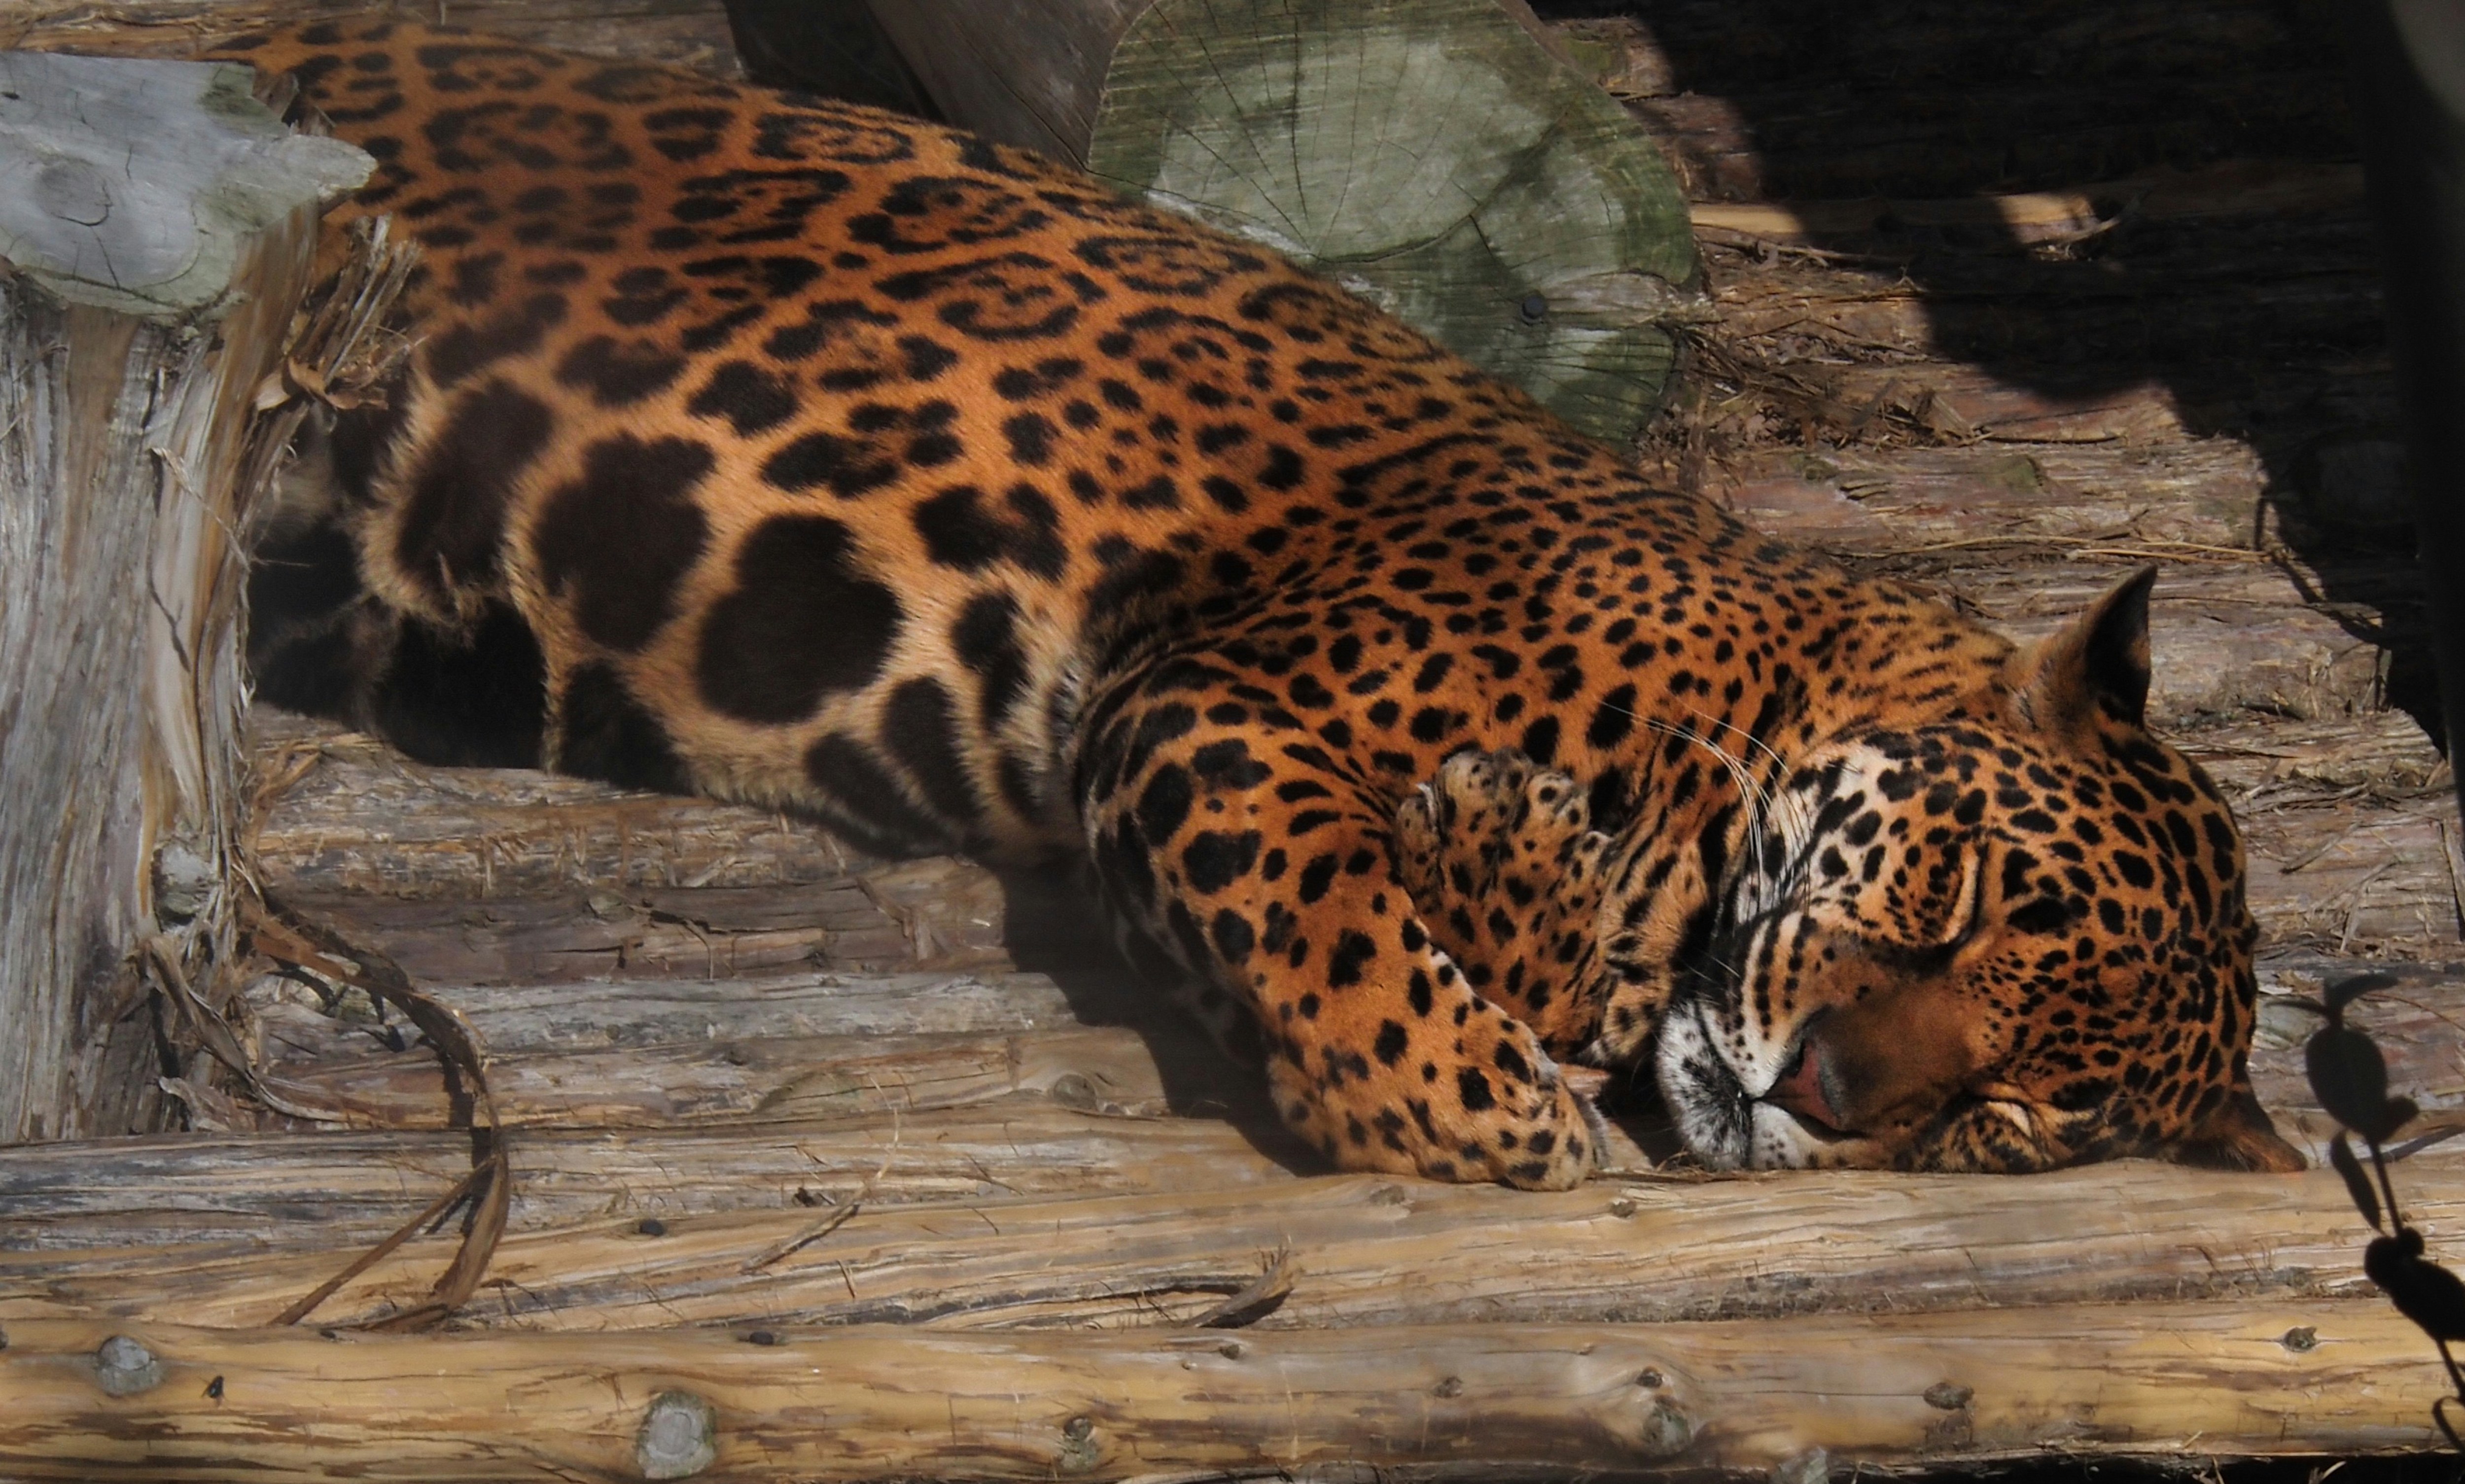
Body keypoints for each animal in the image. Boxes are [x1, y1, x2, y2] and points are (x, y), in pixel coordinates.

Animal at [209, 18, 2303, 1188]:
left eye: (2008, 1112)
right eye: (1952, 902)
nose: (1831, 1091)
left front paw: (1524, 894)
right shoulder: (1206, 695)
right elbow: (1336, 925)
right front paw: (1474, 1087)